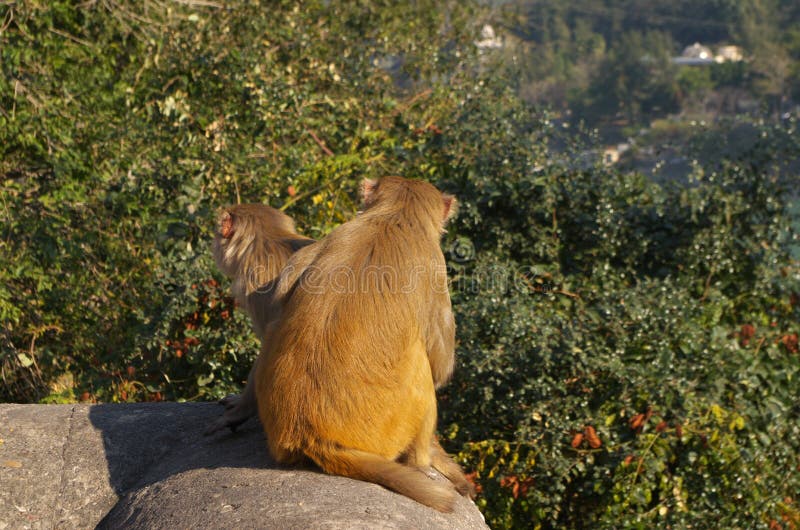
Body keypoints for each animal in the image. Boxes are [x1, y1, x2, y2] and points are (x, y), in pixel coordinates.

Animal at [251, 176, 470, 512]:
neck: (395, 216)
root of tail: (307, 436)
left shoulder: (313, 247)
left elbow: (273, 315)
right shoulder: (435, 267)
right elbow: (440, 366)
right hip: (386, 432)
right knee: (420, 364)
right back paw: (422, 461)